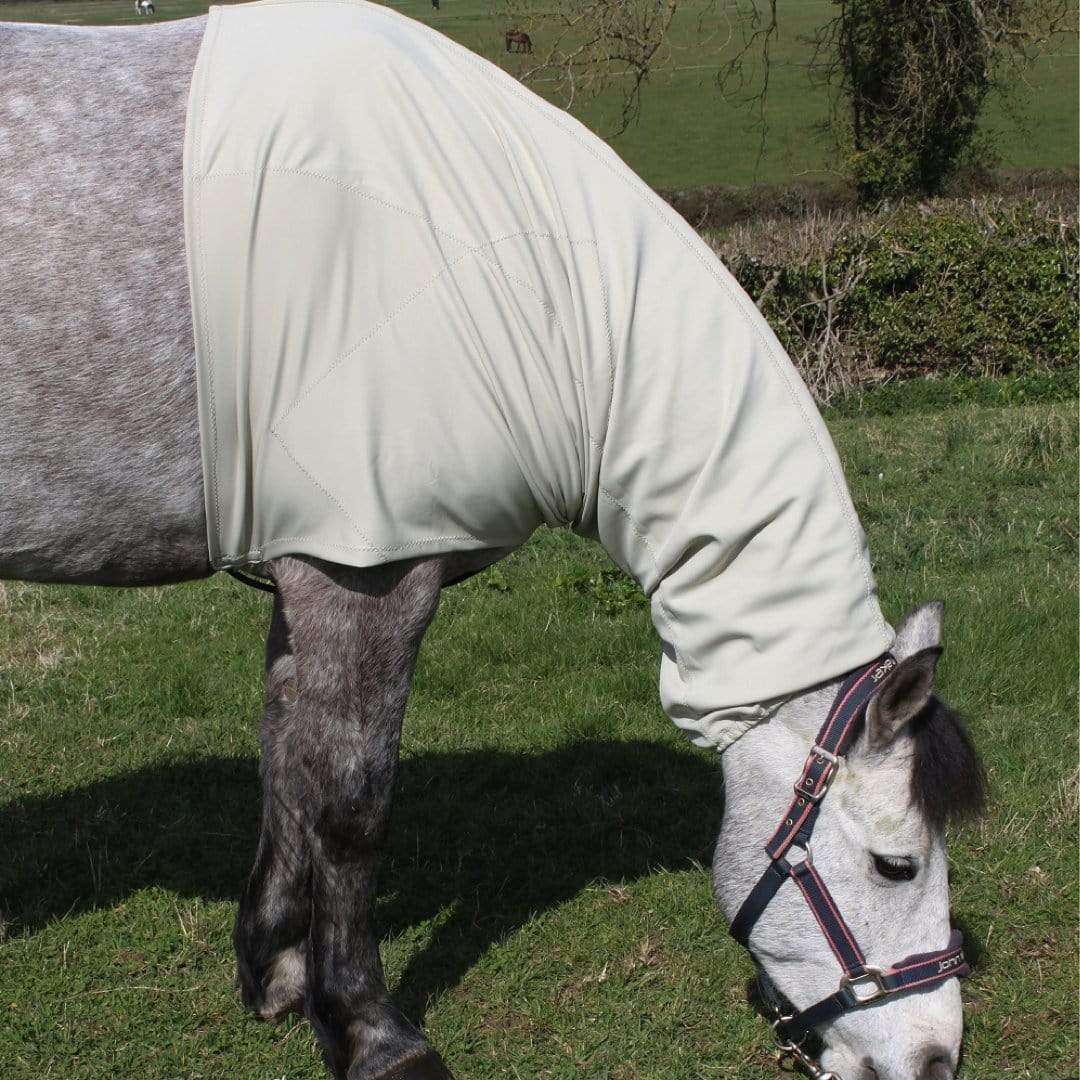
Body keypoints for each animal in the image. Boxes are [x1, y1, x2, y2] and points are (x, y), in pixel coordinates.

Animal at [0, 9, 984, 1080]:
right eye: (897, 864)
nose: (935, 1057)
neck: (530, 269)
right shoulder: (365, 573)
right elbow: (350, 804)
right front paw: (372, 1032)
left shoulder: (305, 569)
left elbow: (286, 765)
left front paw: (277, 977)